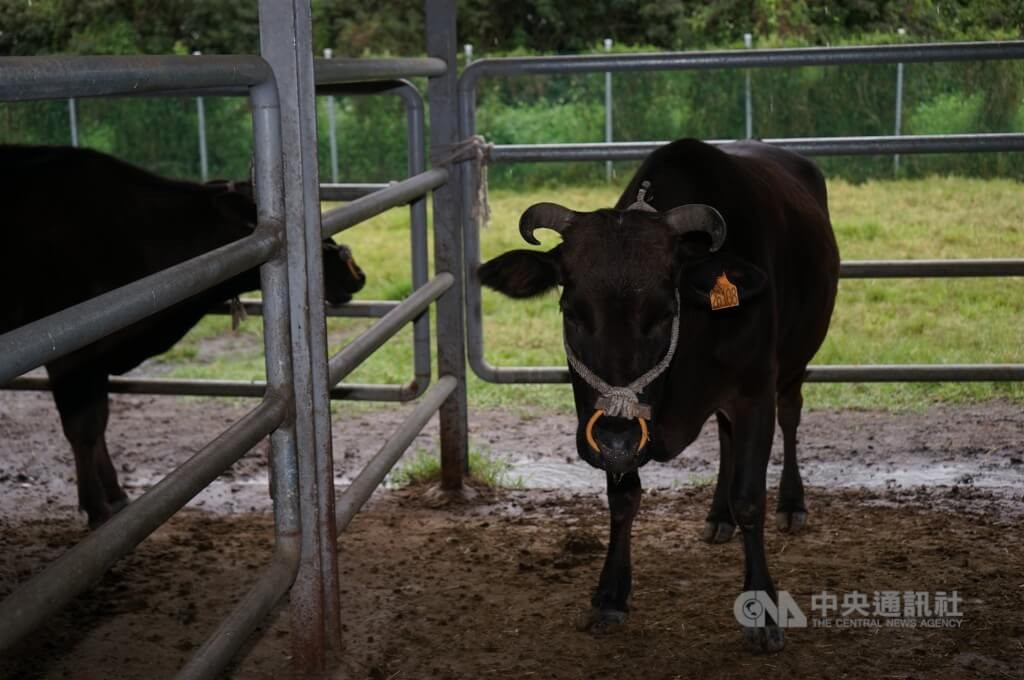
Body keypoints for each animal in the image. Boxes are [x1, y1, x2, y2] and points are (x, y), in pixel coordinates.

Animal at [0, 145, 366, 528]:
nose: (355, 272)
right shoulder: (70, 351)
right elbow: (82, 427)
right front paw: (97, 509)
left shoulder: (96, 357)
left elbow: (99, 420)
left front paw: (115, 494)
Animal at [479, 138, 839, 652]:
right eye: (571, 311)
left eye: (666, 311)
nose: (618, 441)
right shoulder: (597, 419)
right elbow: (623, 499)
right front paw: (610, 595)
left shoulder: (754, 393)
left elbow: (751, 498)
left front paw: (764, 610)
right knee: (724, 438)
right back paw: (718, 514)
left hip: (795, 363)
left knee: (791, 416)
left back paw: (793, 504)